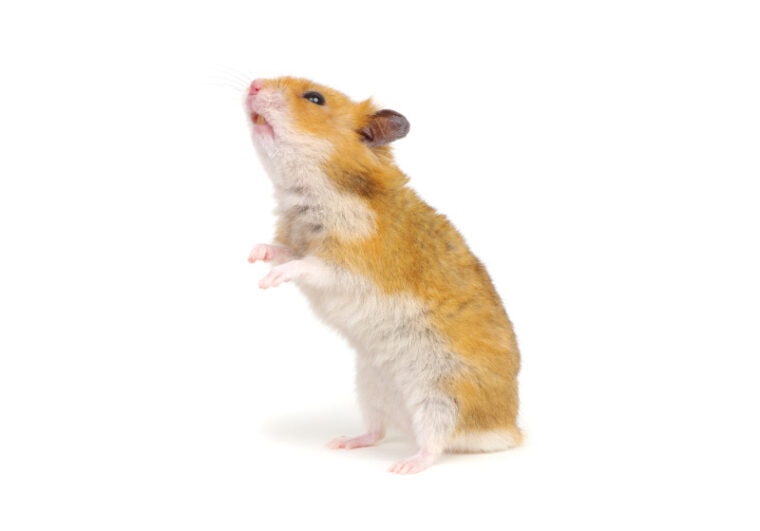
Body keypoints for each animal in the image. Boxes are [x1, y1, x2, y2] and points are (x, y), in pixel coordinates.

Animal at [244, 77, 521, 474]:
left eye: (315, 98)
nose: (253, 84)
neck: (314, 192)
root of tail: (508, 429)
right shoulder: (297, 244)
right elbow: (280, 251)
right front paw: (253, 255)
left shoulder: (346, 267)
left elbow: (303, 266)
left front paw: (268, 281)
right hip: (370, 387)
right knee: (376, 431)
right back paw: (343, 442)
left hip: (440, 399)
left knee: (435, 444)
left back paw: (405, 466)